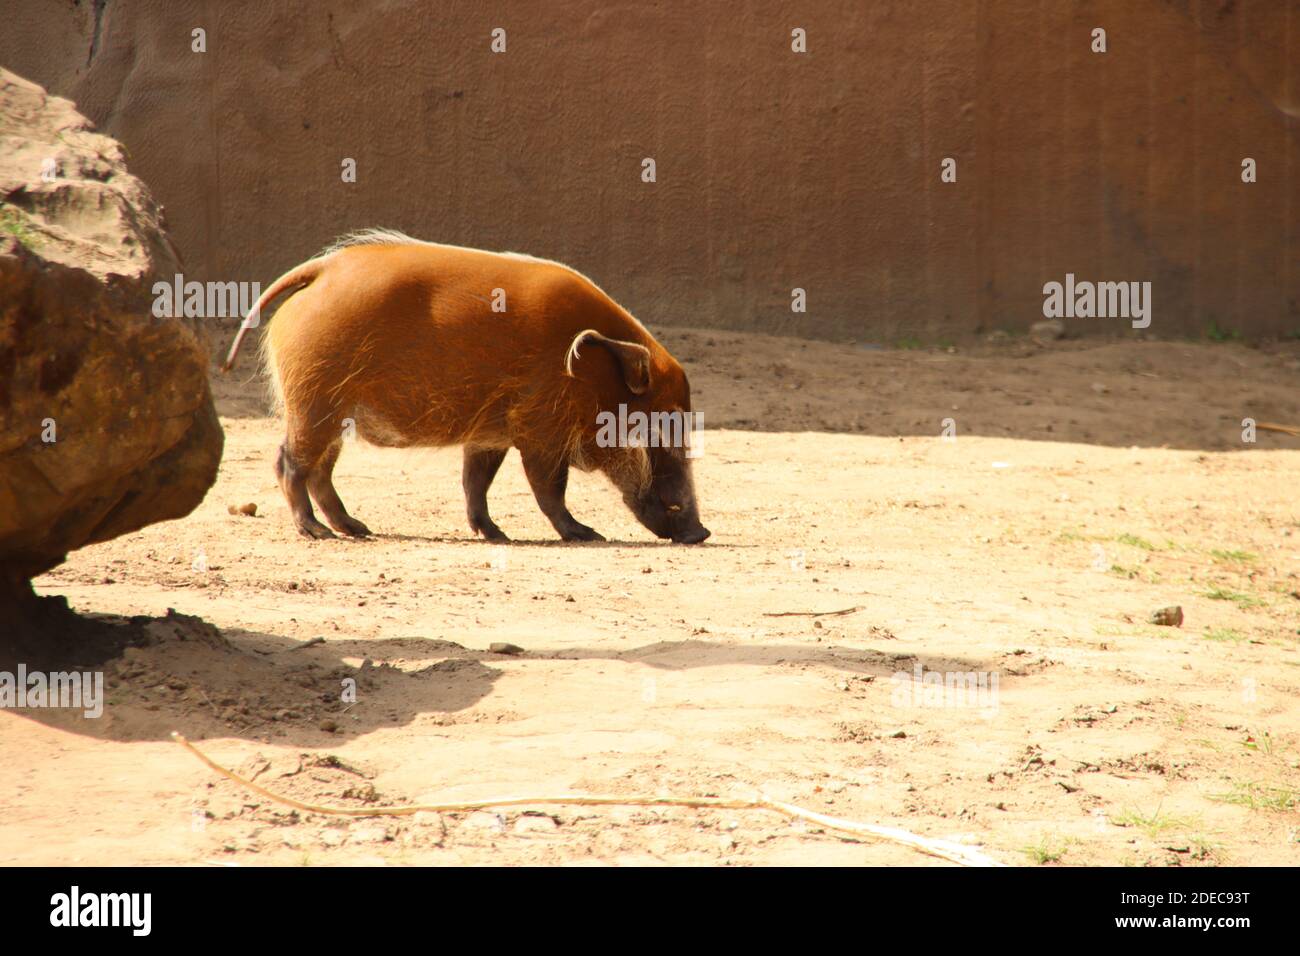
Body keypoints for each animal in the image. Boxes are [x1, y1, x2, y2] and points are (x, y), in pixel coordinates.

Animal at [221, 230, 709, 545]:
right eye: (661, 424)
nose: (701, 532)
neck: (592, 378)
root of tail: (321, 269)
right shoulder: (541, 433)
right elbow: (549, 489)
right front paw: (587, 534)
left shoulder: (491, 434)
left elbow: (476, 482)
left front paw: (495, 535)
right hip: (314, 403)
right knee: (289, 462)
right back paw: (316, 532)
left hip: (333, 412)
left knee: (321, 471)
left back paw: (356, 528)